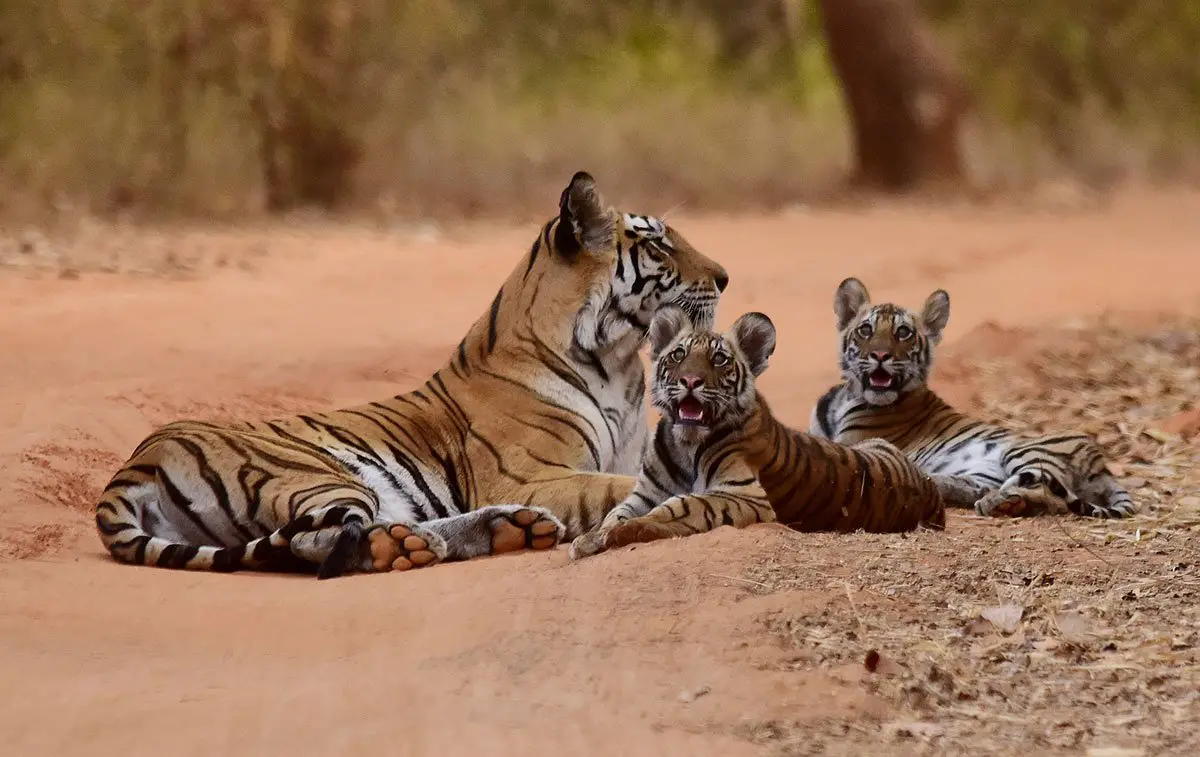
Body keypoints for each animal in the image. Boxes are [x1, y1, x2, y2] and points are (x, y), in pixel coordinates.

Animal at [94, 171, 731, 578]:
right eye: (658, 246)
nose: (725, 278)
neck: (618, 361)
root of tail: (134, 464)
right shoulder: (531, 474)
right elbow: (618, 488)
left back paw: (508, 531)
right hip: (316, 474)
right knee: (313, 541)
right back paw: (413, 546)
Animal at [568, 307, 946, 559]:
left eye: (719, 359)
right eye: (678, 354)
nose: (690, 381)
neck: (685, 444)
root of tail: (930, 490)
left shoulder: (745, 494)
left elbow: (681, 505)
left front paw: (624, 532)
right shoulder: (645, 492)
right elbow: (617, 513)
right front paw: (592, 538)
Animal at [808, 276, 1135, 519]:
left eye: (903, 333)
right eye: (866, 330)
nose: (880, 355)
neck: (847, 396)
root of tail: (1101, 464)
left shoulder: (853, 443)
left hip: (1026, 452)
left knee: (1041, 491)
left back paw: (996, 502)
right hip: (985, 471)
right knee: (980, 487)